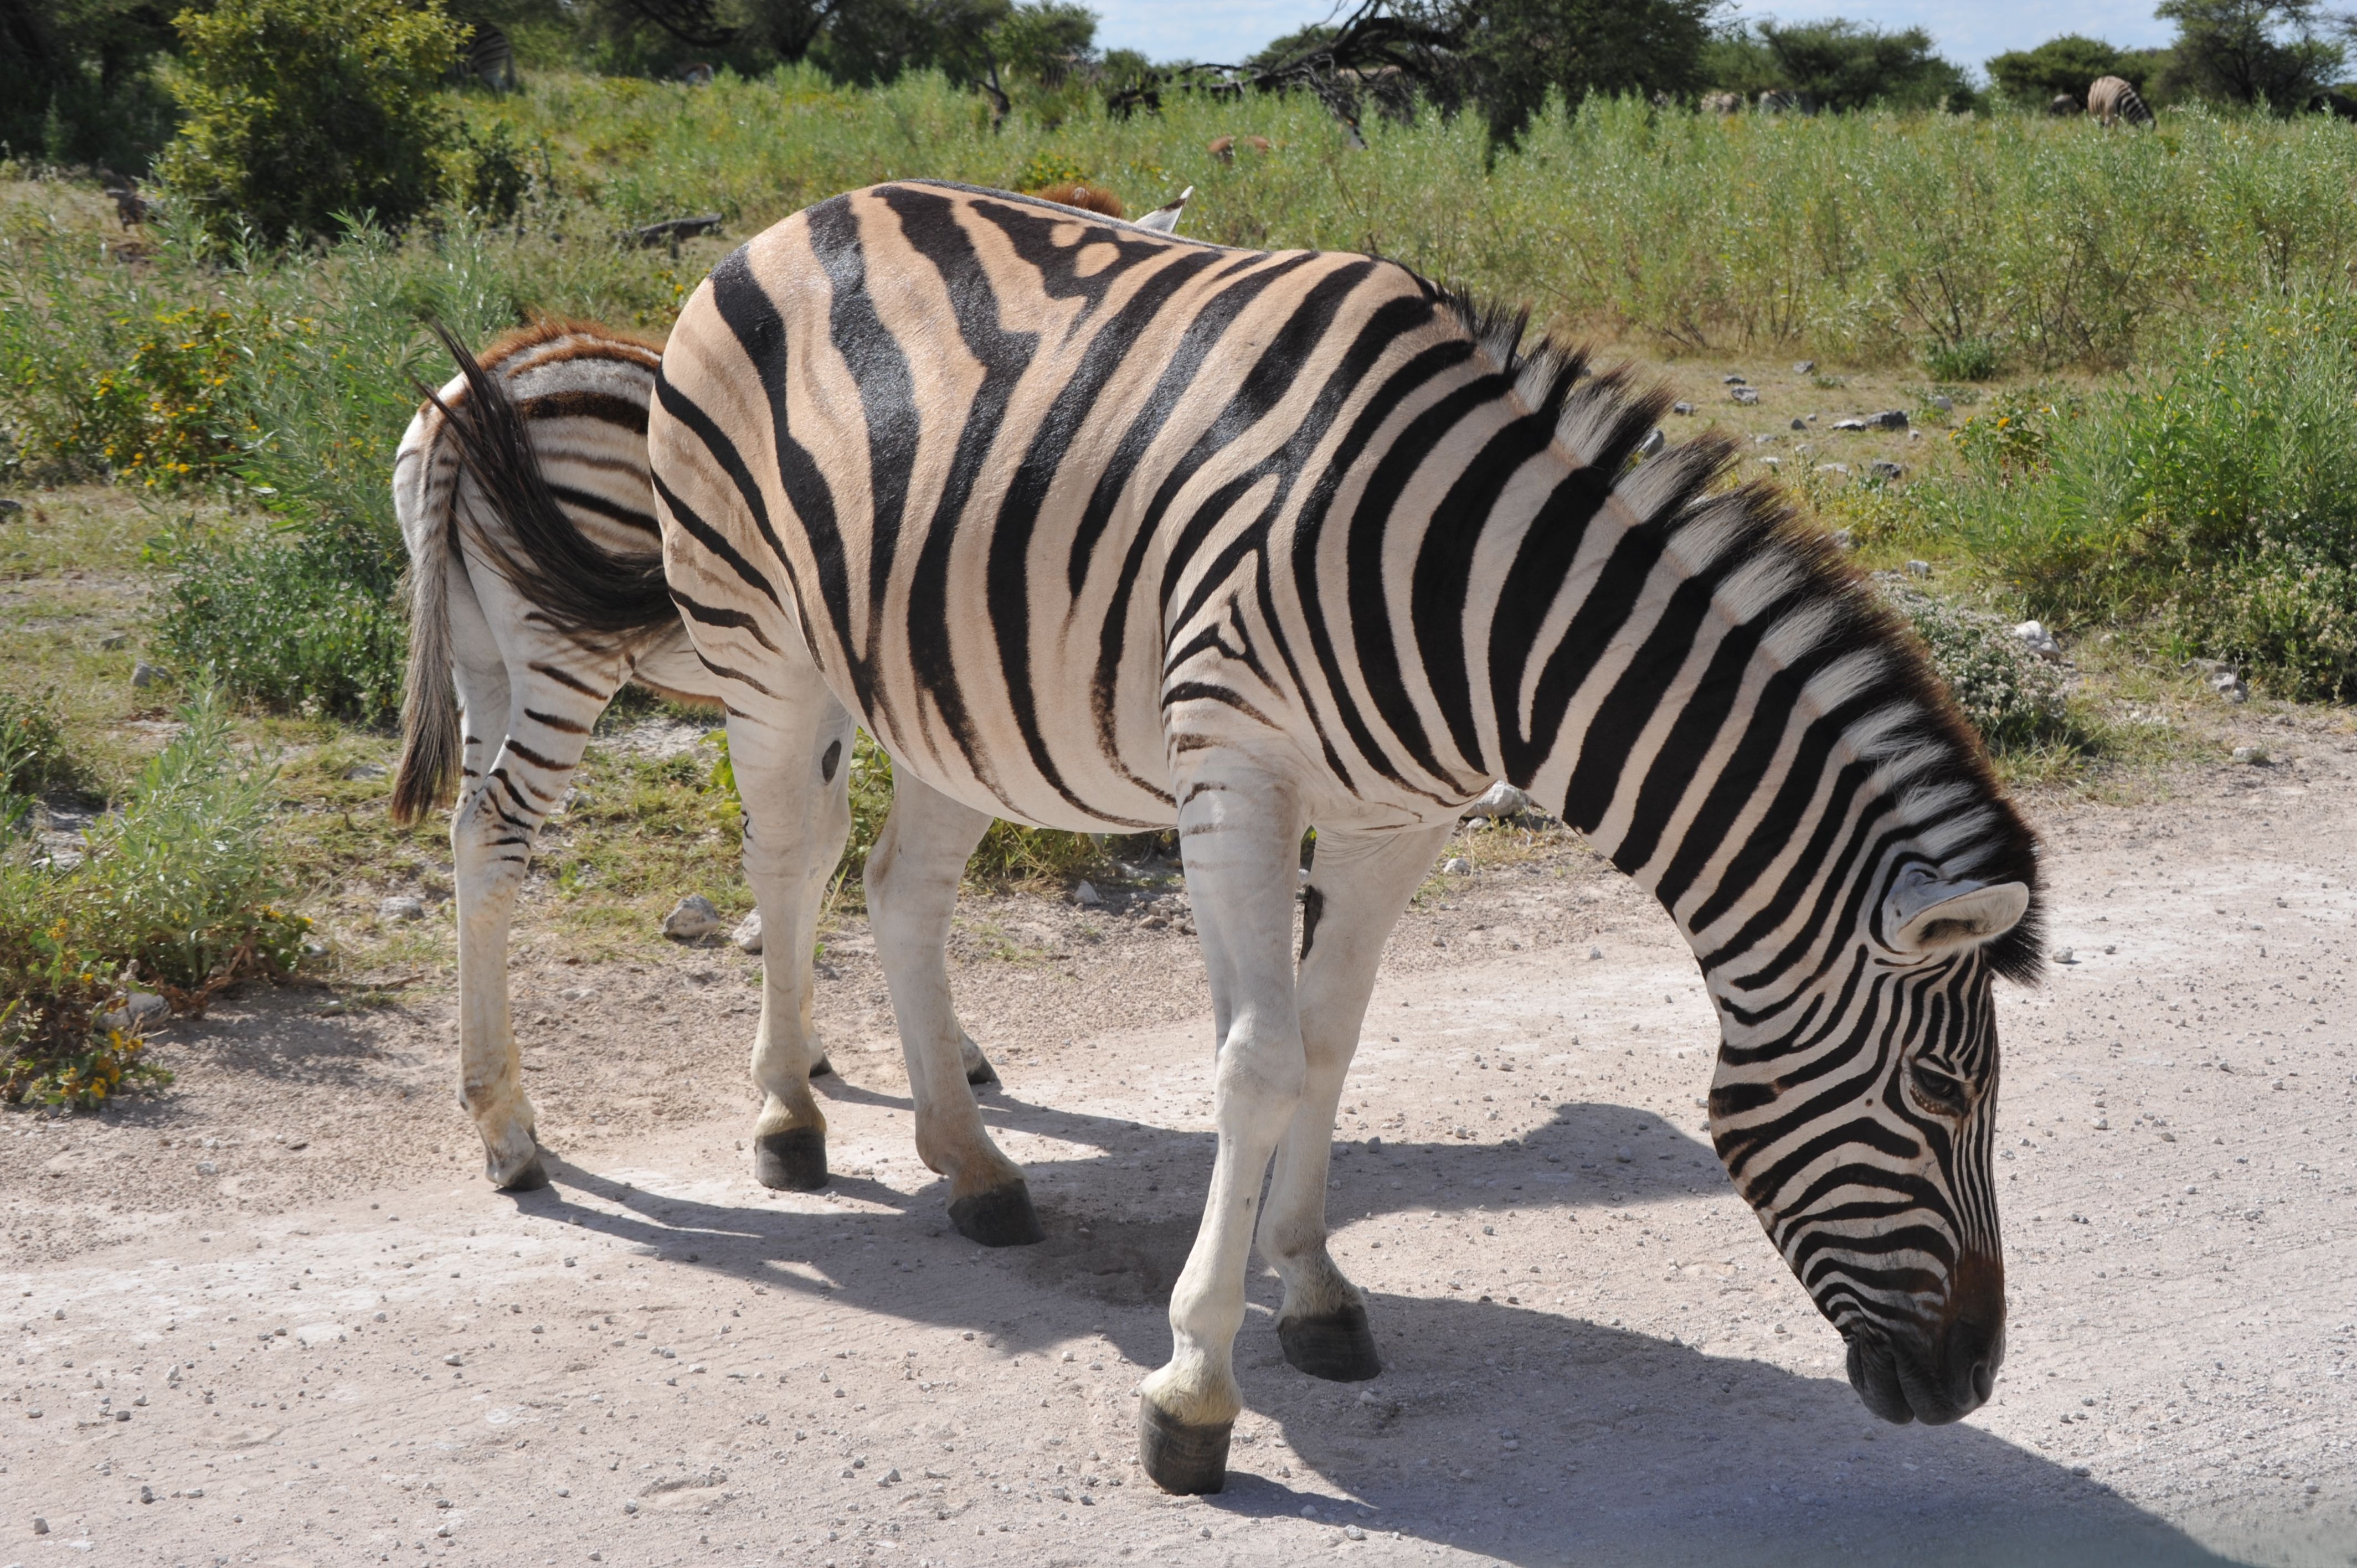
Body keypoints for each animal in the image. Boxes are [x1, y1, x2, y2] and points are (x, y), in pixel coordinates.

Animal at [390, 318, 1005, 1191]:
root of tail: (487, 385)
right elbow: (826, 850)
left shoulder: (815, 692)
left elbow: (816, 844)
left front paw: (804, 1052)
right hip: (566, 651)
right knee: (494, 831)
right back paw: (504, 1129)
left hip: (480, 661)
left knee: (468, 833)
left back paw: (505, 1112)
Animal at [487, 180, 2043, 1492]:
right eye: (1941, 1095)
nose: (1971, 1378)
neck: (1476, 601)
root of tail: (801, 215)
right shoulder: (1233, 773)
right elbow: (1256, 1063)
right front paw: (1193, 1389)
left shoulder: (1399, 818)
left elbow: (1331, 1043)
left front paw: (1312, 1288)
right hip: (760, 635)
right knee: (790, 861)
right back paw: (778, 1120)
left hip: (950, 681)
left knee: (901, 886)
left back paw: (973, 1163)